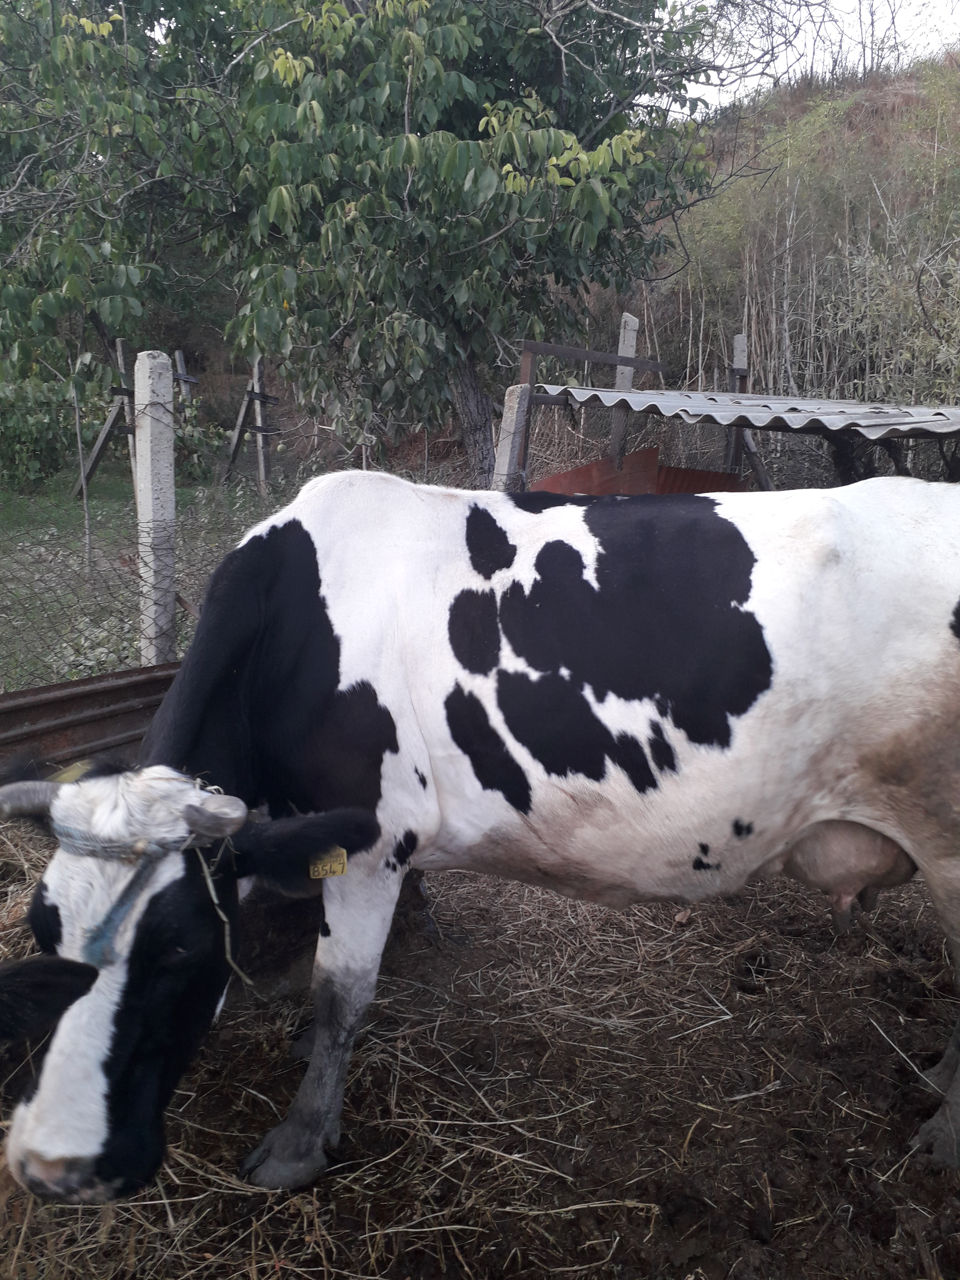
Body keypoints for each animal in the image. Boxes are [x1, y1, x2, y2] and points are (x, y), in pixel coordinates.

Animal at [2, 470, 960, 1204]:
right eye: (44, 938)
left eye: (180, 949)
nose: (56, 1168)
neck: (293, 623)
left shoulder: (375, 833)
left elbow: (340, 989)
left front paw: (300, 1142)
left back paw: (944, 1128)